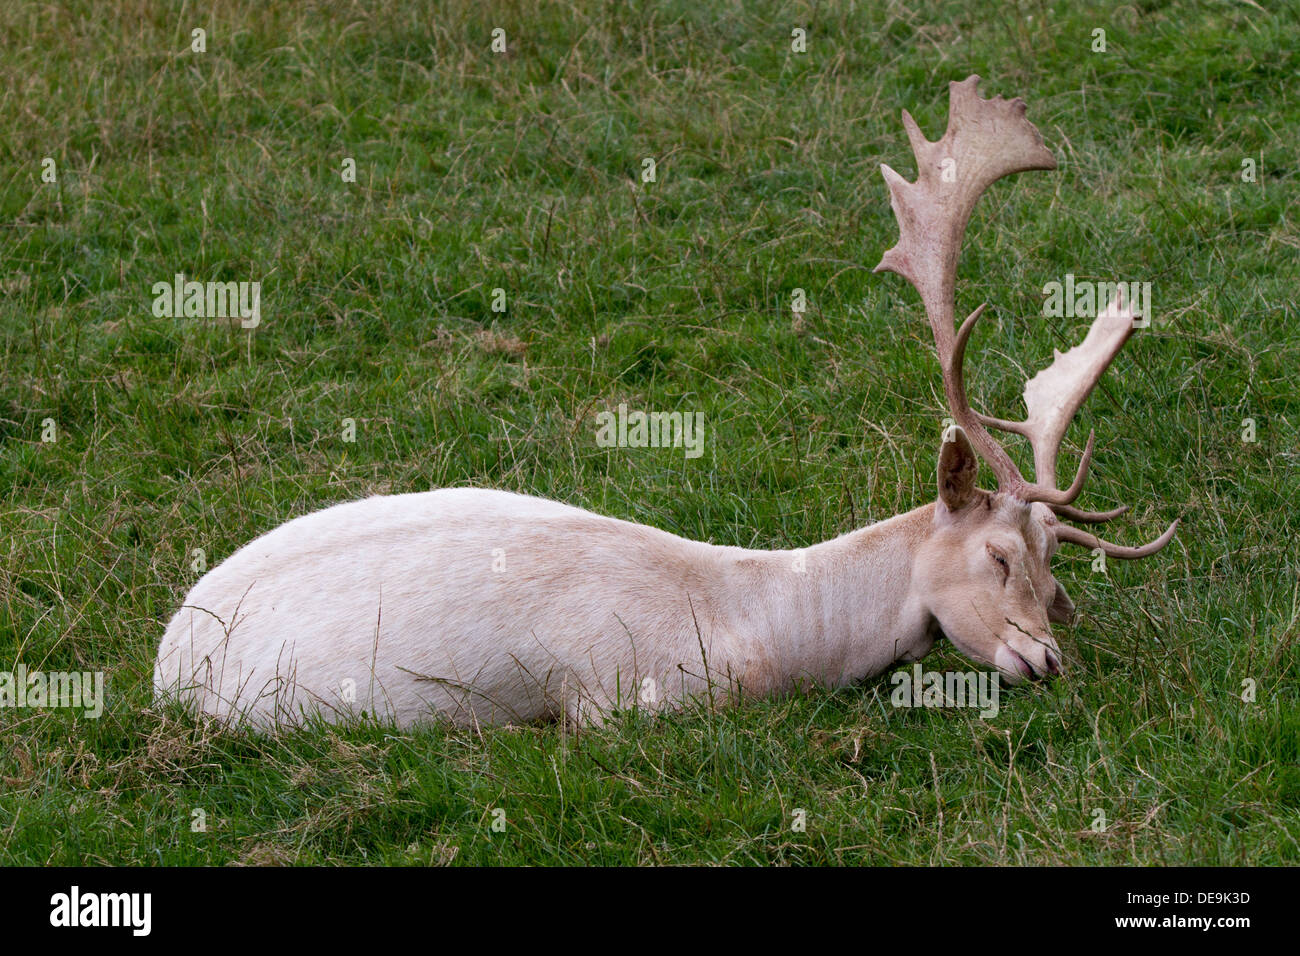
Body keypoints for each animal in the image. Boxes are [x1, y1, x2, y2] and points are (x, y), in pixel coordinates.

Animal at [154, 76, 1178, 730]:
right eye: (999, 556)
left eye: (1053, 569)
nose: (1047, 659)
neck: (757, 621)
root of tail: (167, 662)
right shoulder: (627, 696)